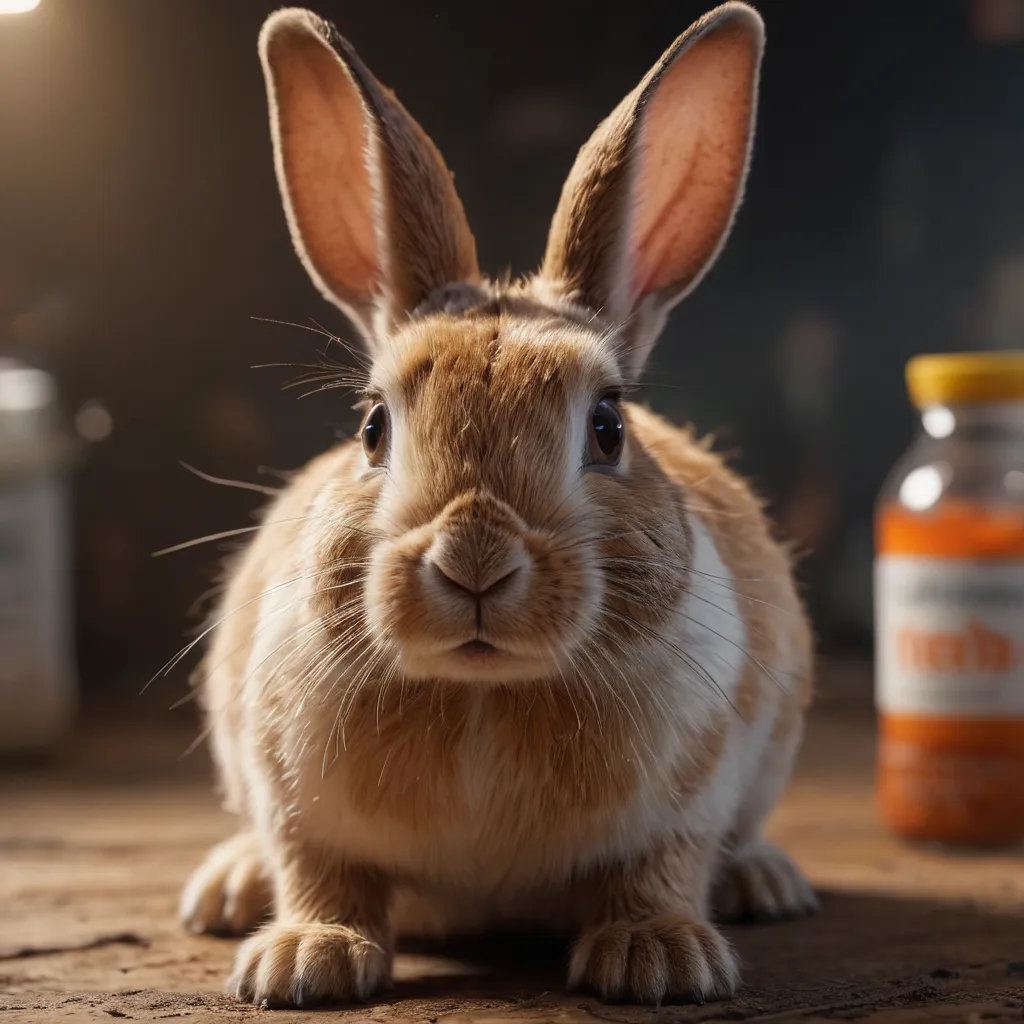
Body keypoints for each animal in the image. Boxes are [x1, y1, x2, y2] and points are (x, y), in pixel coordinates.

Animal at [178, 0, 817, 1009]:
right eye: (372, 427)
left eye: (608, 426)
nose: (473, 559)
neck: (484, 693)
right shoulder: (295, 800)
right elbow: (323, 873)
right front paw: (304, 962)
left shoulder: (688, 799)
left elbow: (658, 872)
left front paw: (660, 960)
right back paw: (231, 890)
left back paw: (764, 883)